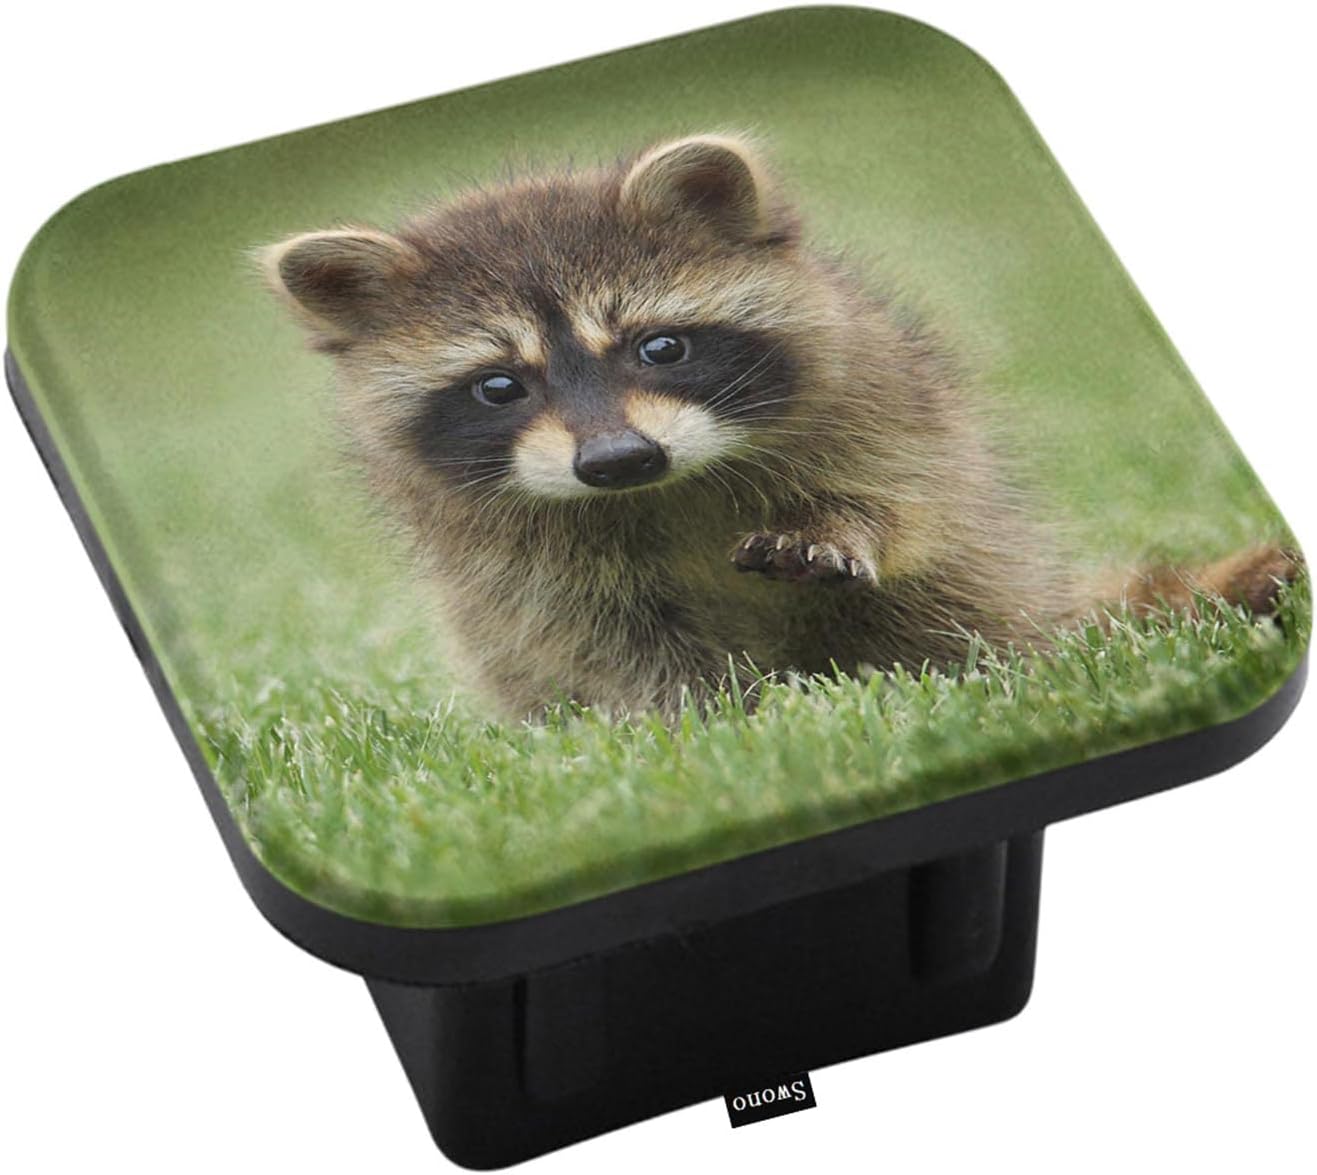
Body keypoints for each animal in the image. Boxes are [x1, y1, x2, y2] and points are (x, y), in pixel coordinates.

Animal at [263, 134, 1298, 718]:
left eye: (660, 346)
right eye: (498, 387)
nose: (617, 460)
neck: (670, 485)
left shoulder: (878, 395)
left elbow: (906, 496)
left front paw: (843, 529)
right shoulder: (504, 551)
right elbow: (594, 635)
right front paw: (715, 723)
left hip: (994, 576)